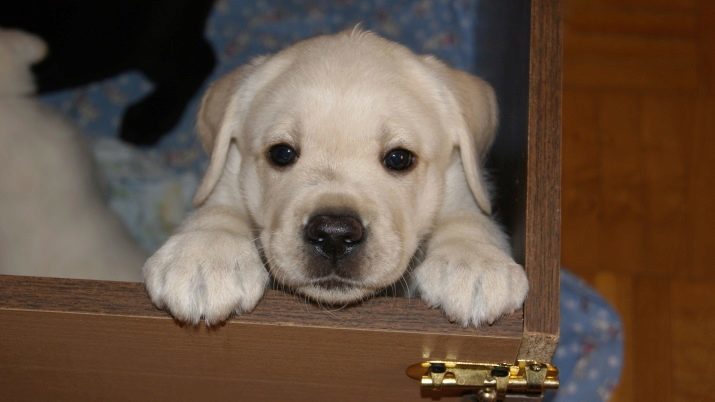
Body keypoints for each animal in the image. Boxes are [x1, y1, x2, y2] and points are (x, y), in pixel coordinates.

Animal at [143, 30, 528, 326]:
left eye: (399, 158)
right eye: (281, 153)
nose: (334, 235)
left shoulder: (463, 181)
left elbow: (469, 215)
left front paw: (473, 262)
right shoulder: (225, 174)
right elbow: (218, 207)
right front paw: (204, 256)